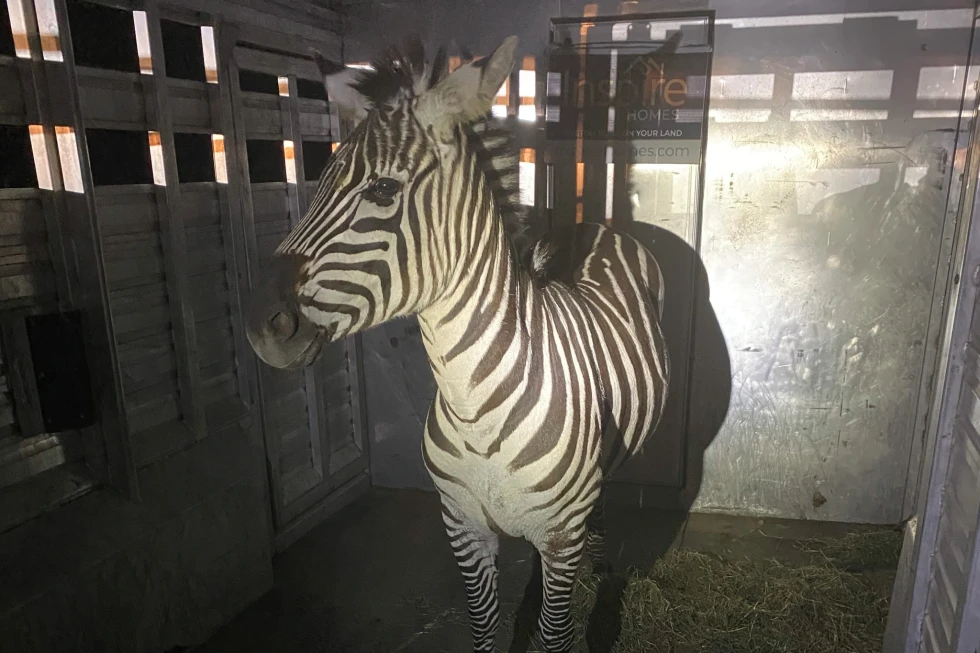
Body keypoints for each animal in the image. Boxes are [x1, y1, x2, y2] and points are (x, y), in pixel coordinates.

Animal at [245, 36, 669, 653]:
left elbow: (554, 636)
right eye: (320, 180)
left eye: (382, 189)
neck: (476, 410)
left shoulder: (559, 533)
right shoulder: (462, 527)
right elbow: (485, 629)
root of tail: (590, 226)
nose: (261, 325)